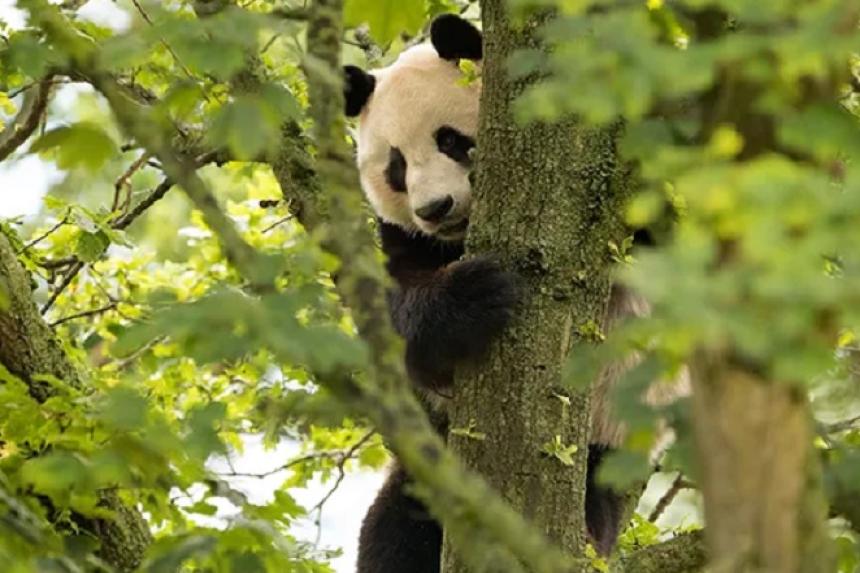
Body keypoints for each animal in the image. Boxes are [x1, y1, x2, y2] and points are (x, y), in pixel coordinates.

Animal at [342, 14, 687, 573]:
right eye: (396, 166)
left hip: (614, 427)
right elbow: (398, 319)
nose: (435, 208)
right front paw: (476, 294)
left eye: (450, 140)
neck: (458, 238)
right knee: (393, 533)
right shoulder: (405, 239)